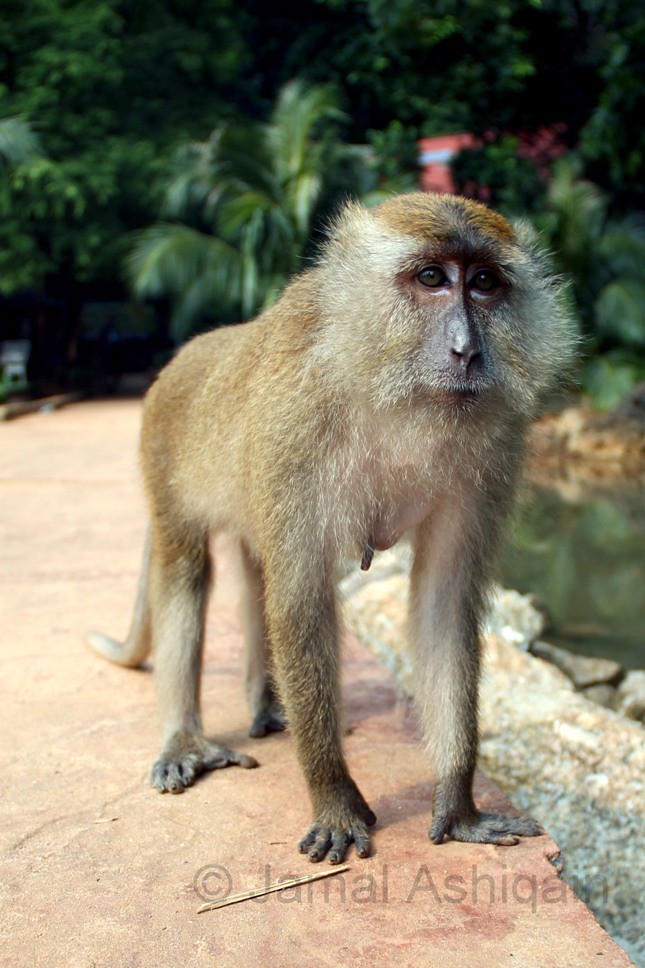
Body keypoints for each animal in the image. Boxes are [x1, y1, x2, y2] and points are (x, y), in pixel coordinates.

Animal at [87, 192, 575, 865]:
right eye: (432, 278)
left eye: (483, 283)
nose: (466, 351)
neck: (389, 388)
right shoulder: (294, 429)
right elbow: (300, 601)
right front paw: (334, 798)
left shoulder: (496, 448)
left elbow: (444, 602)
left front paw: (459, 802)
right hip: (161, 455)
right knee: (187, 570)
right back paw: (186, 739)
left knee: (251, 573)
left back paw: (269, 706)